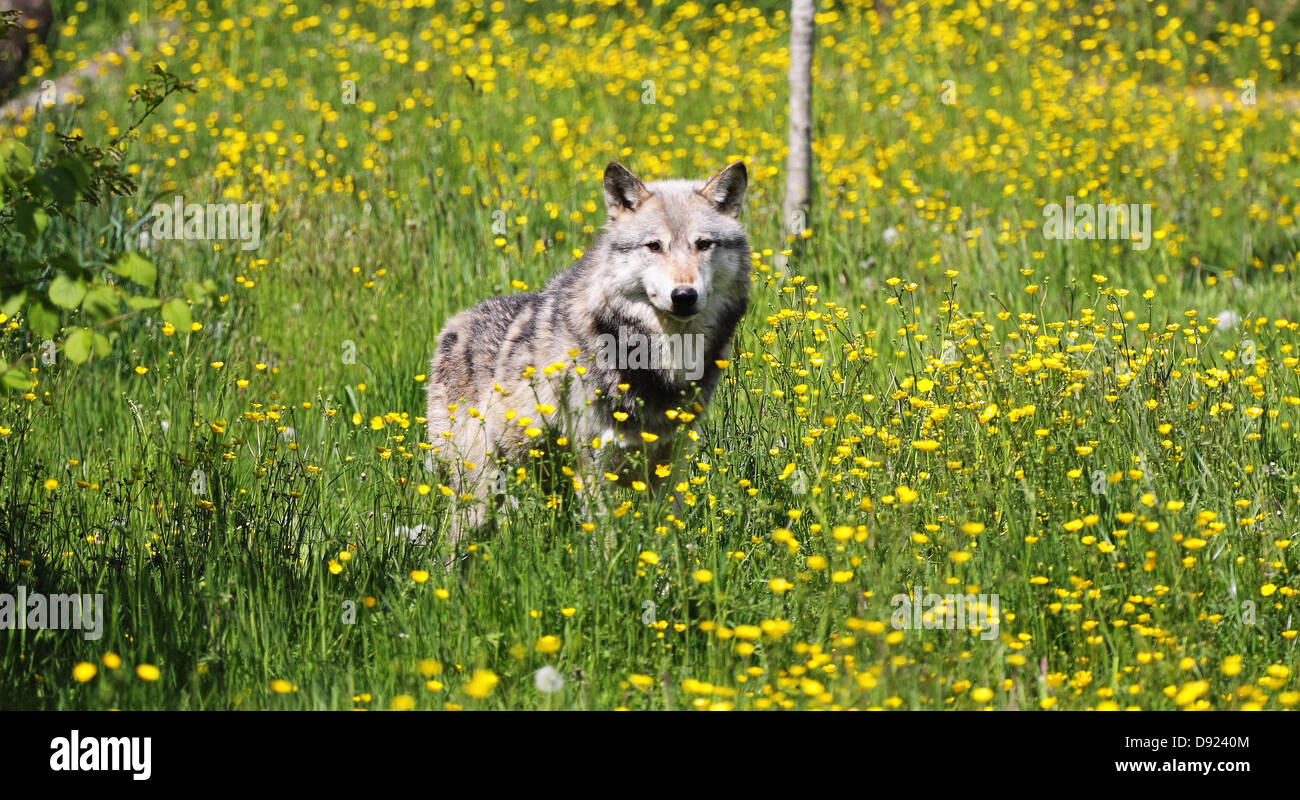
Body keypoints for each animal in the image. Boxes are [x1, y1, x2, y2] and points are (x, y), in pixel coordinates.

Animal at [426, 160, 750, 550]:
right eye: (654, 246)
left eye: (703, 244)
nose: (684, 295)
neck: (658, 363)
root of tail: (453, 324)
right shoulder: (595, 467)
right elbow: (607, 544)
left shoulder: (672, 462)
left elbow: (663, 540)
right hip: (481, 497)